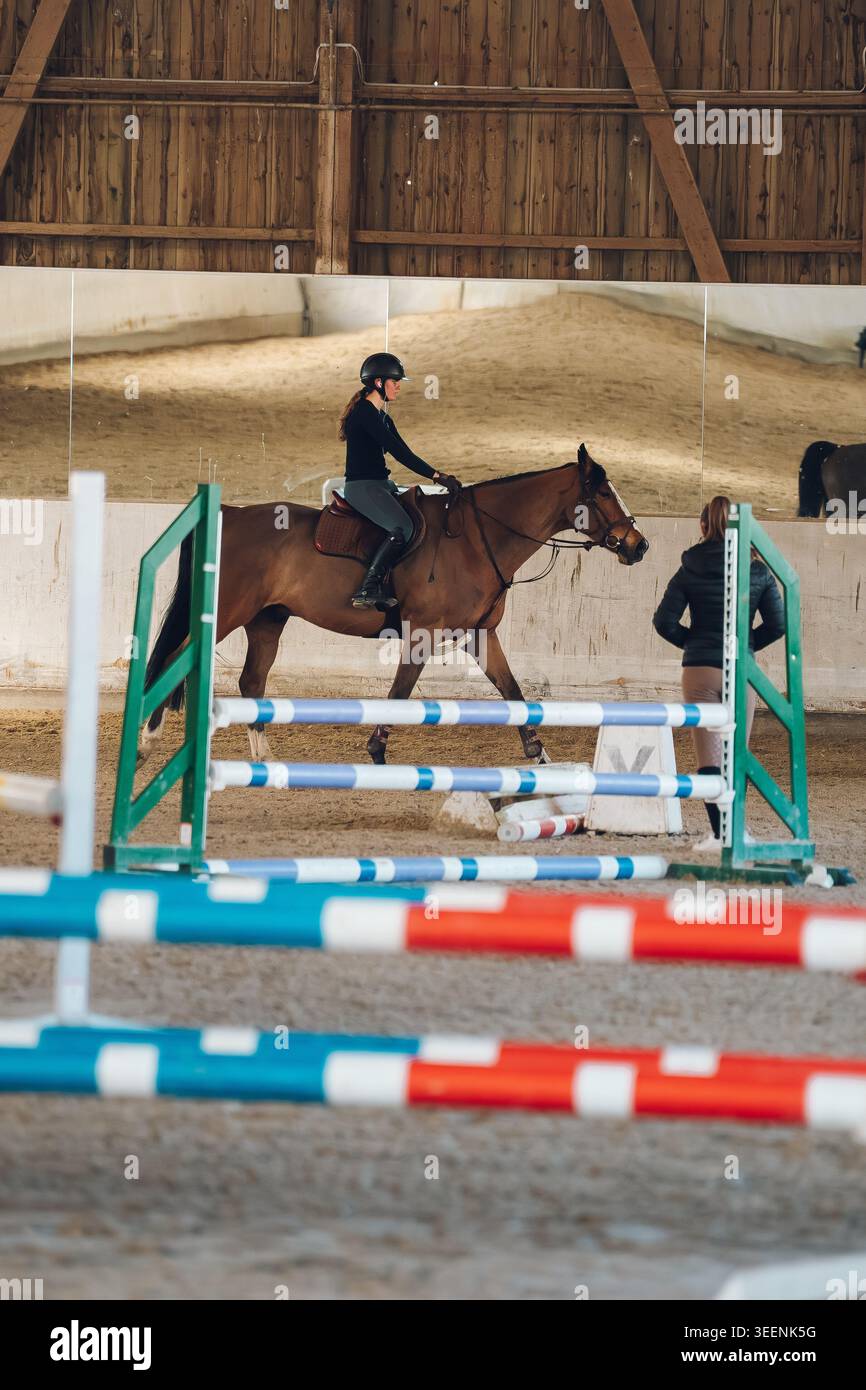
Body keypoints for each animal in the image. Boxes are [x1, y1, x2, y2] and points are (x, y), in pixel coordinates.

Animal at [140, 443, 649, 766]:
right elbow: (400, 693)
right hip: (228, 612)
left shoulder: (481, 635)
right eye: (604, 493)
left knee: (251, 680)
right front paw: (377, 750)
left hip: (267, 620)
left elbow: (514, 692)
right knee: (172, 660)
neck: (477, 540)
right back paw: (148, 740)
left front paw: (539, 753)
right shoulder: (422, 633)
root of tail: (230, 513)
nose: (639, 545)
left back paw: (264, 758)